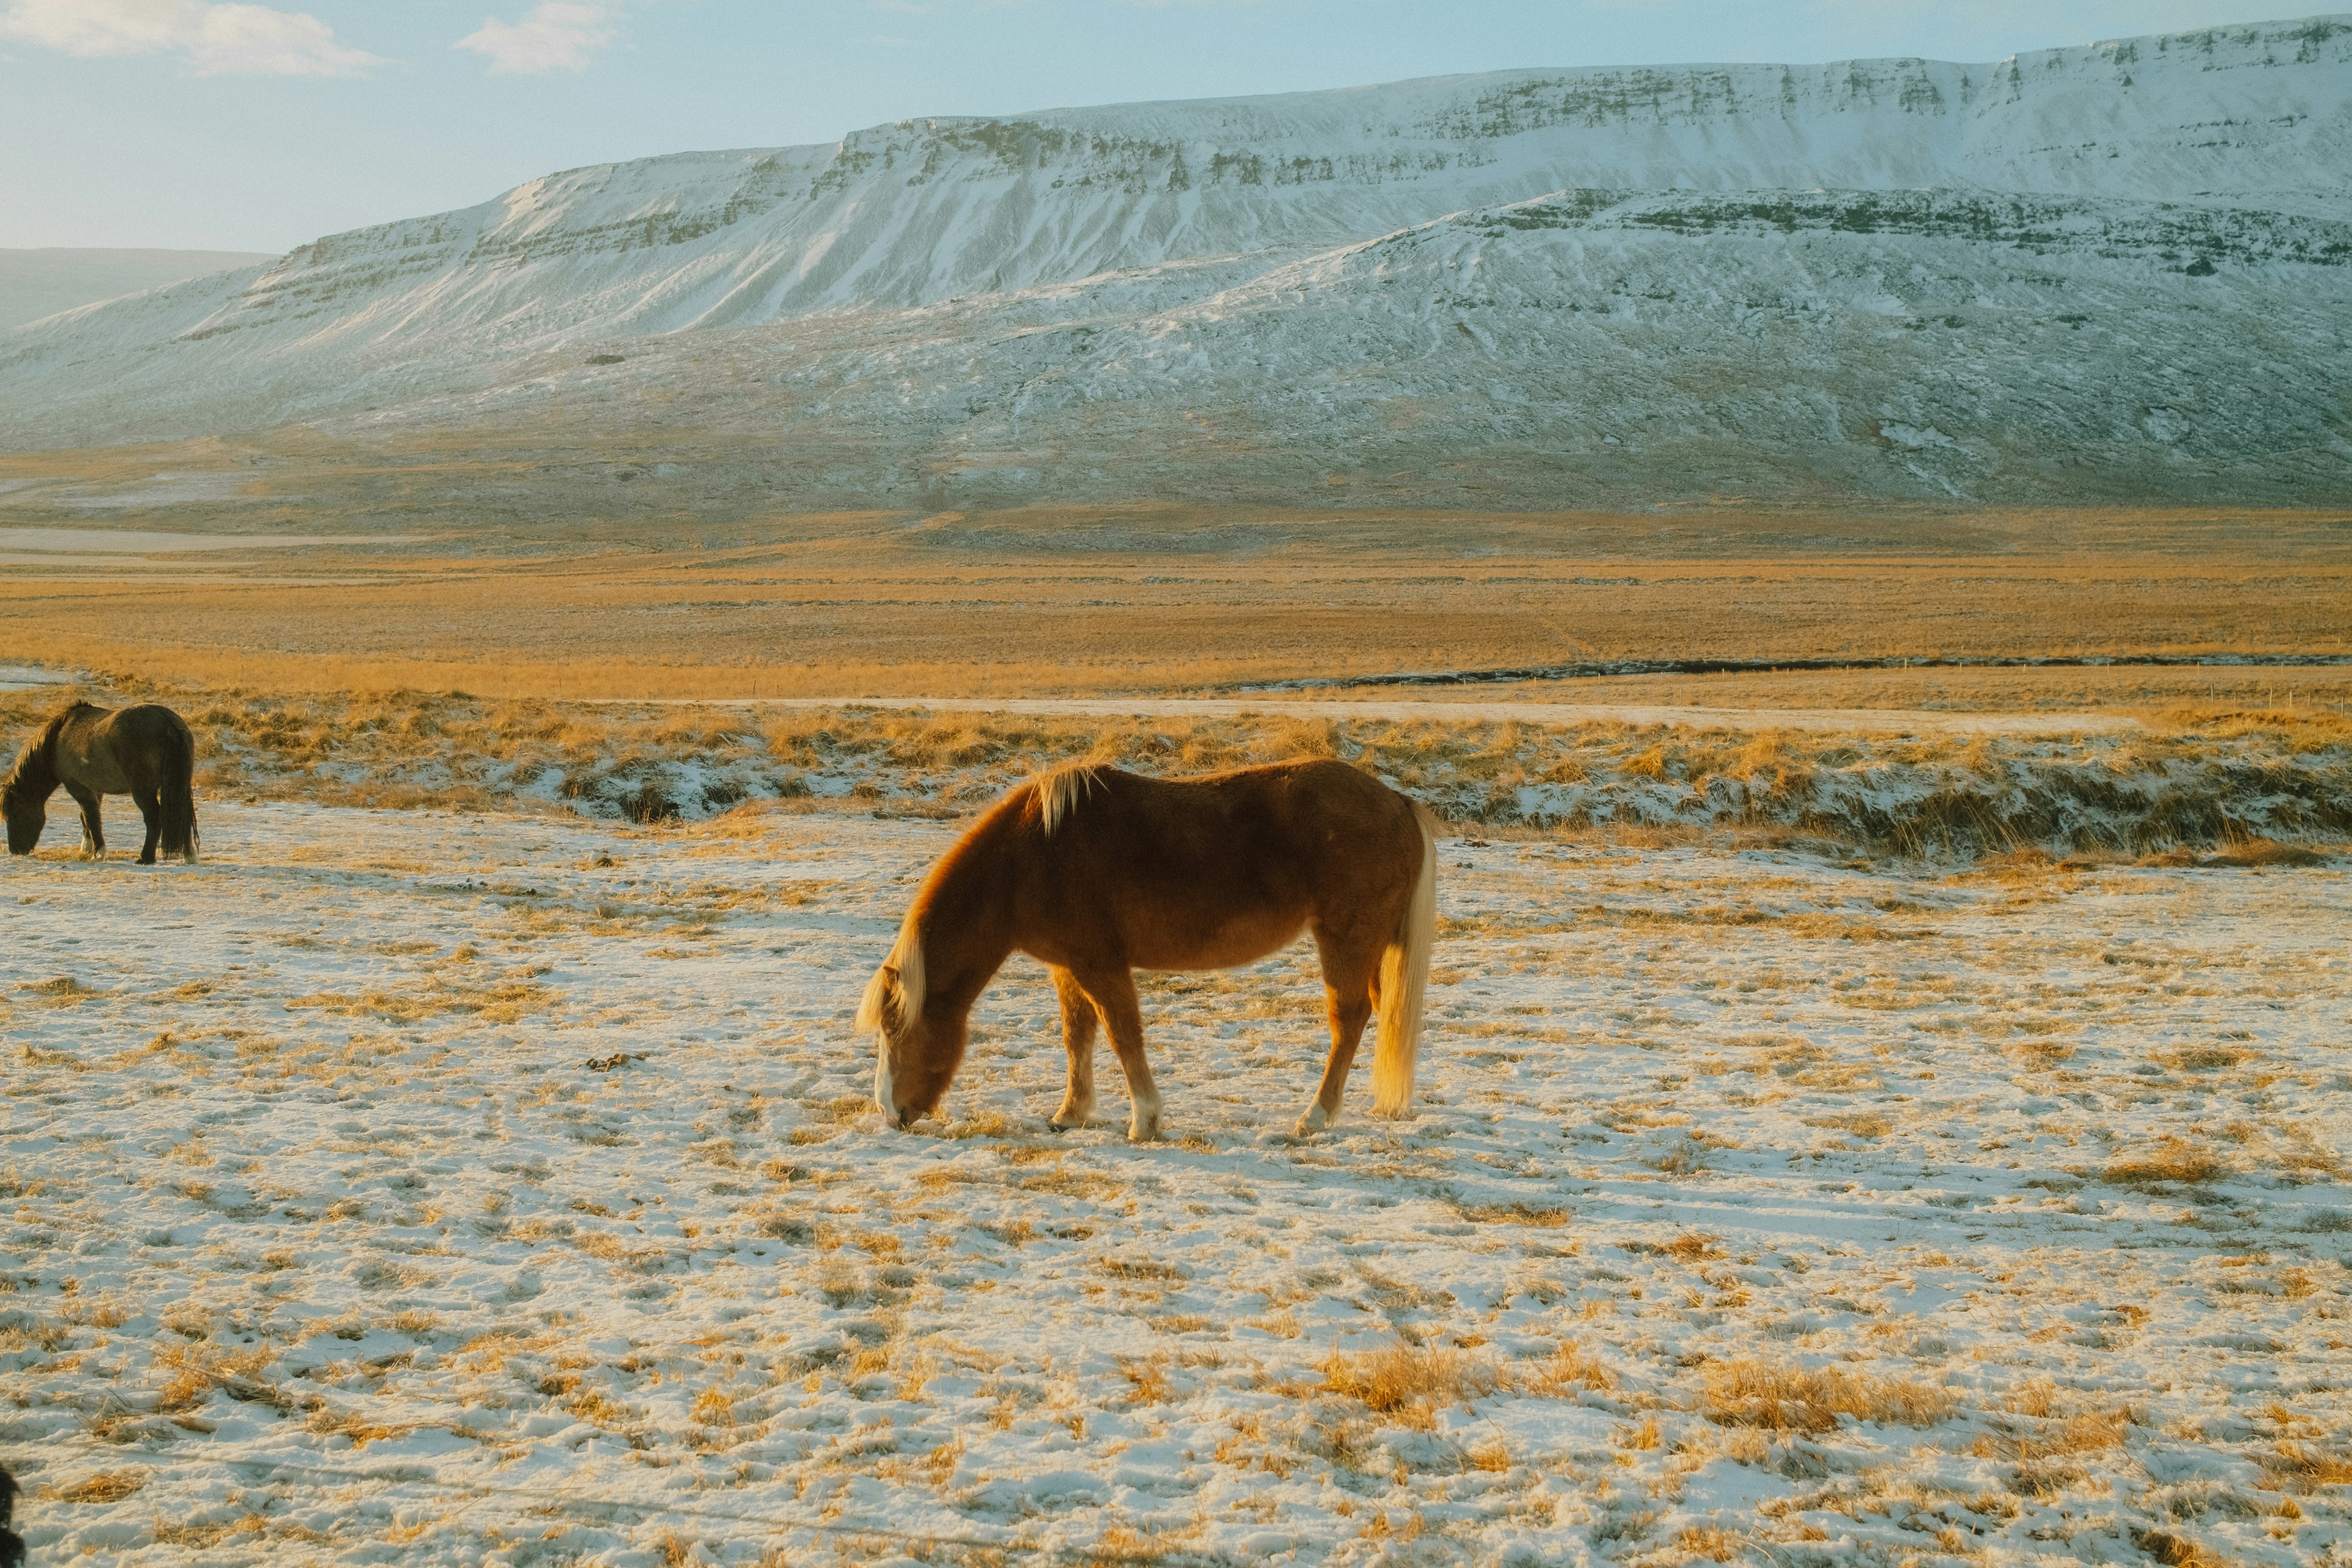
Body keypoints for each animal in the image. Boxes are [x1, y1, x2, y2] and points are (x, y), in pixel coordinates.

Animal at [3, 701, 200, 865]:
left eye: (14, 814)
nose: (16, 851)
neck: (59, 738)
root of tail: (166, 720)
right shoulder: (95, 789)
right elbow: (87, 817)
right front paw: (87, 848)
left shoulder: (78, 788)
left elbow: (91, 818)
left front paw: (99, 853)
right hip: (179, 786)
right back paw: (189, 856)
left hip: (143, 791)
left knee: (153, 818)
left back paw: (146, 858)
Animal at [858, 757, 1438, 1140]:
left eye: (896, 1030)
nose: (891, 1113)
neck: (1030, 856)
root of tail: (1399, 802)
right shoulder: (1068, 967)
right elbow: (1078, 1036)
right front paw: (1071, 1113)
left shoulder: (1100, 963)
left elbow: (1121, 1034)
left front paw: (1145, 1119)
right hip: (1370, 947)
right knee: (1380, 1013)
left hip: (1345, 940)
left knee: (1348, 1019)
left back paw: (1315, 1116)